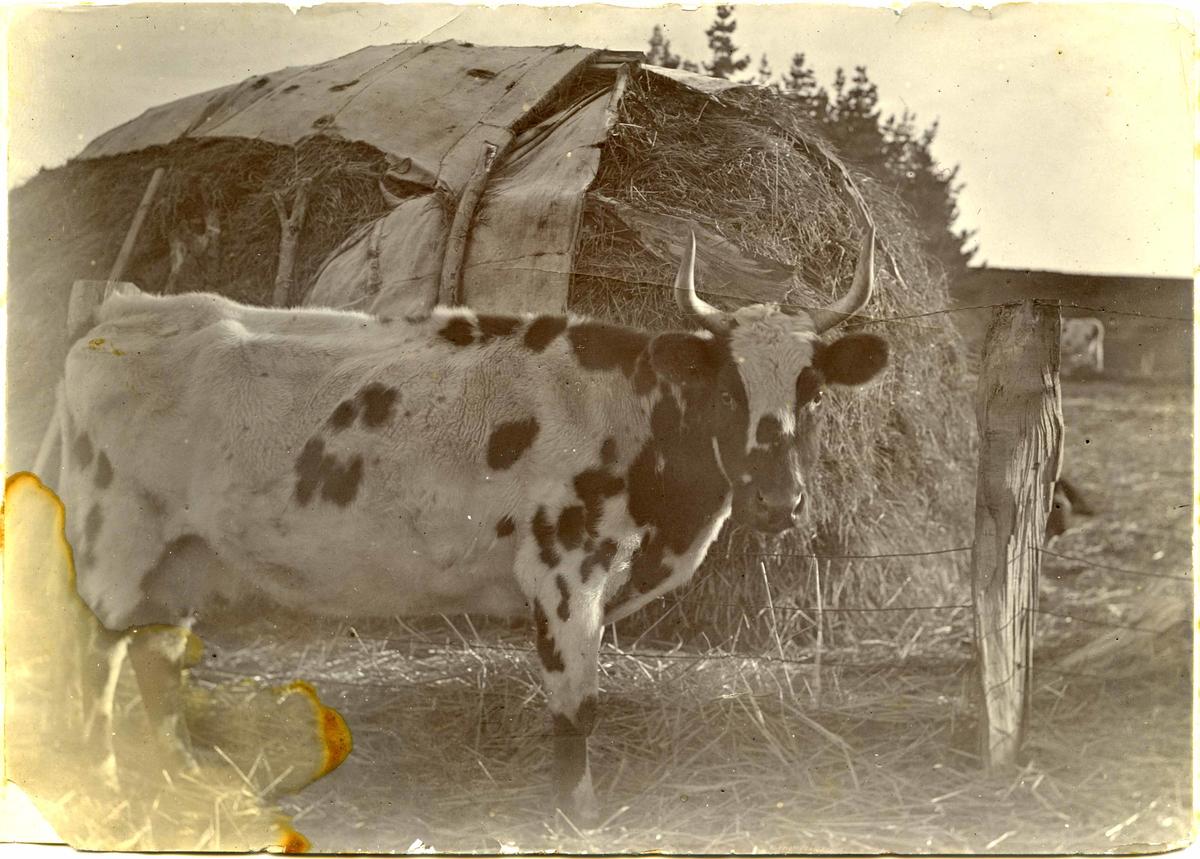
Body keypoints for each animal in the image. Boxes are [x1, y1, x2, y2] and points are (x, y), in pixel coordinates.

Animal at [49, 229, 888, 824]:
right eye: (727, 390)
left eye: (813, 390)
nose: (778, 502)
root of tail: (125, 311)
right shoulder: (562, 573)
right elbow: (578, 706)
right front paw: (578, 815)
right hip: (111, 541)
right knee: (94, 660)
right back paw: (101, 782)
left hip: (180, 555)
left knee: (156, 658)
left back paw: (182, 782)